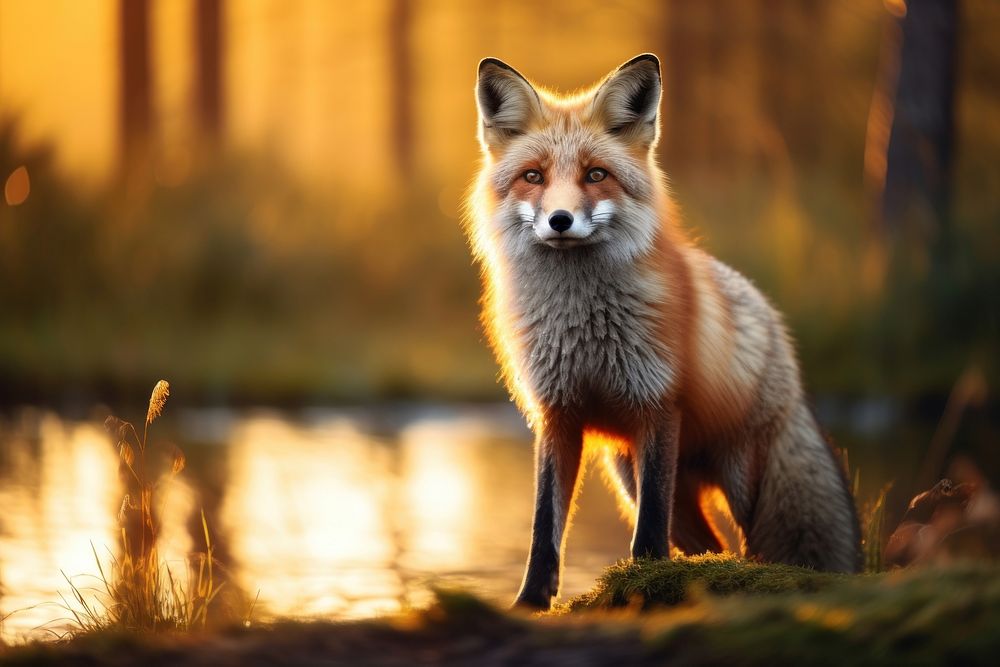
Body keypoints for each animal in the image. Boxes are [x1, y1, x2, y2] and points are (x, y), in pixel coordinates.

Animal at [464, 54, 862, 610]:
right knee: (712, 547)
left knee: (750, 547)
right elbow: (545, 526)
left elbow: (649, 528)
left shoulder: (657, 405)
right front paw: (530, 602)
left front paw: (644, 582)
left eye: (596, 174)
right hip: (633, 476)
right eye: (533, 176)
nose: (560, 220)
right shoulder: (557, 415)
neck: (584, 327)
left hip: (740, 474)